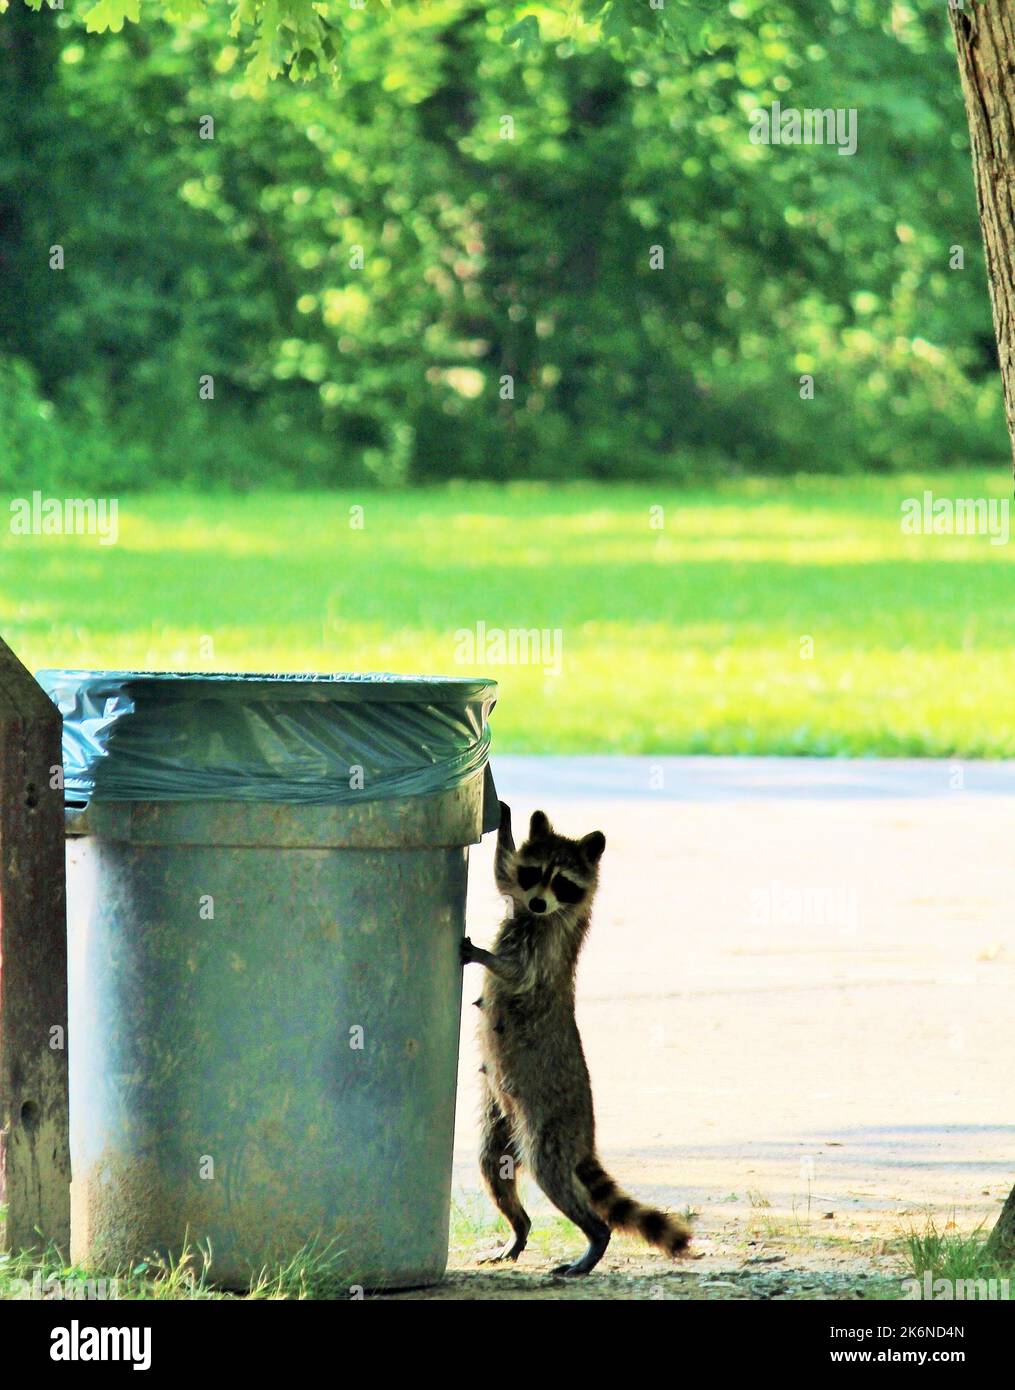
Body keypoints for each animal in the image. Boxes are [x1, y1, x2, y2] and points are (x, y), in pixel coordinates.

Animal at [460, 800, 691, 1276]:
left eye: (563, 882)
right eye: (535, 873)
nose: (537, 901)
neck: (541, 914)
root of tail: (585, 1136)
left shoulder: (548, 945)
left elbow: (517, 973)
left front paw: (484, 955)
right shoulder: (521, 899)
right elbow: (503, 874)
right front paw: (507, 820)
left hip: (549, 1125)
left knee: (551, 1174)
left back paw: (595, 1238)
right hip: (501, 1116)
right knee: (494, 1166)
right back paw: (520, 1227)